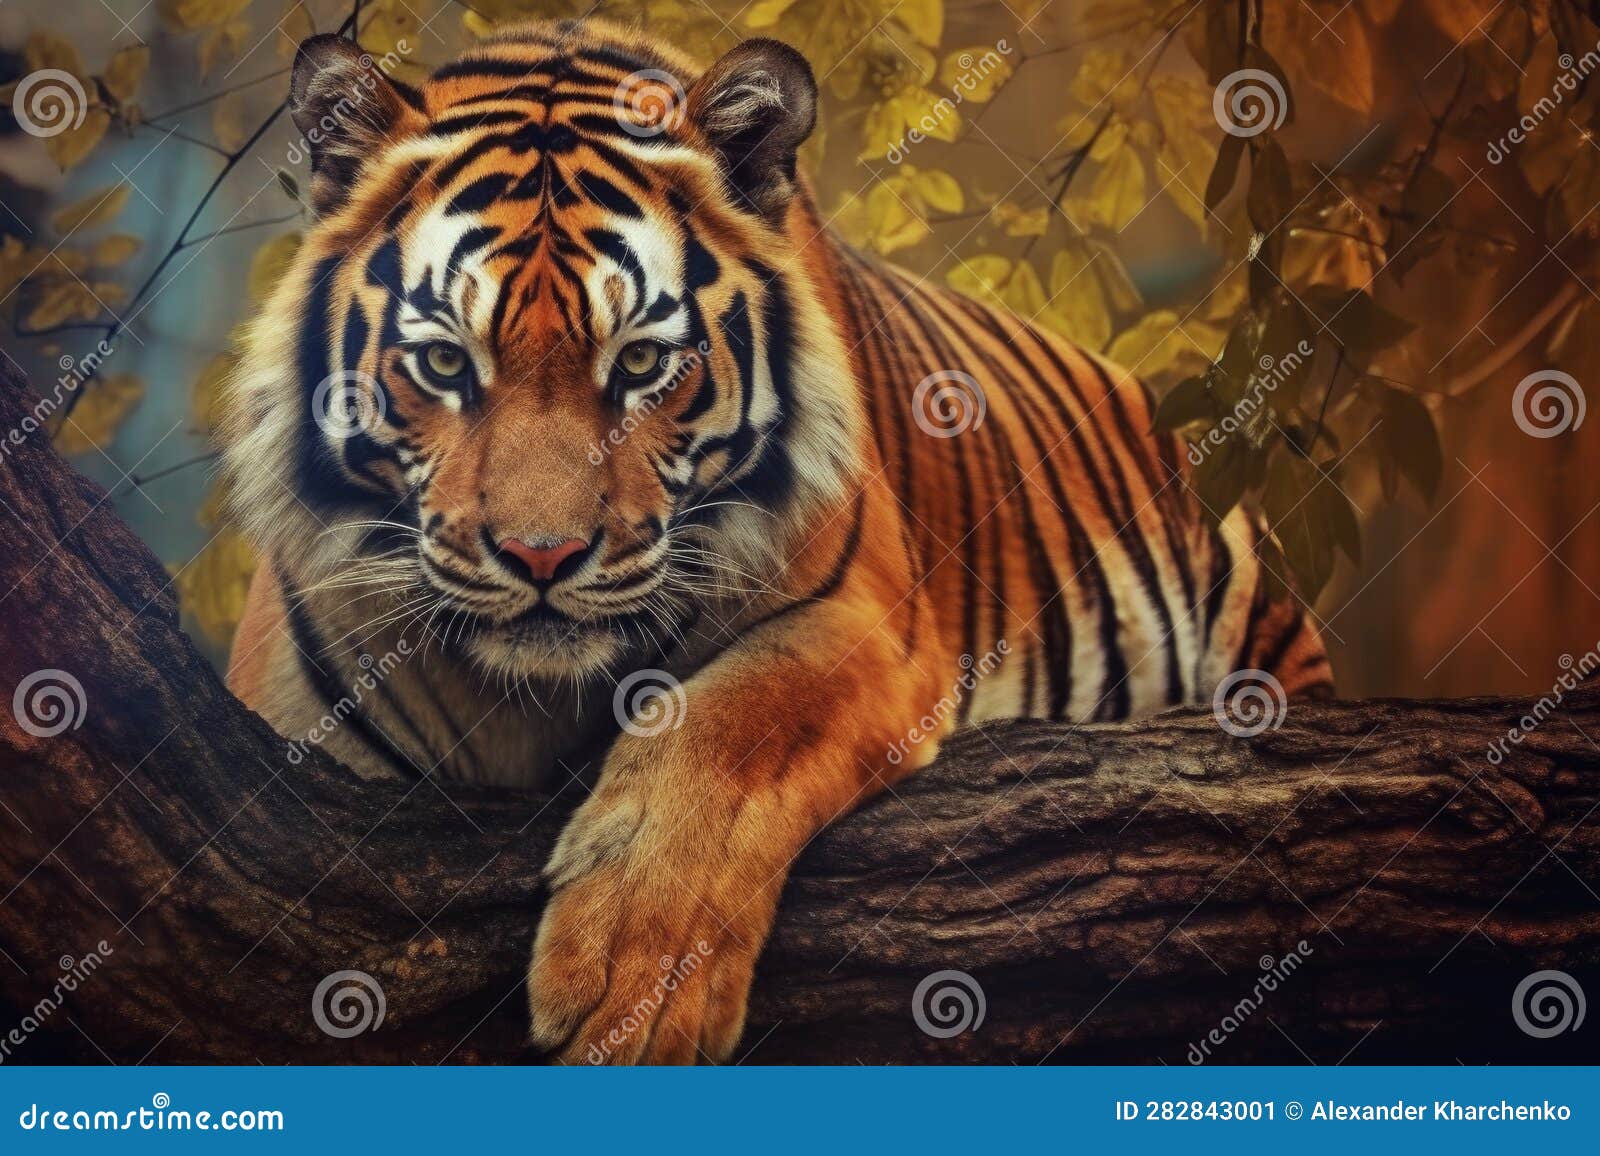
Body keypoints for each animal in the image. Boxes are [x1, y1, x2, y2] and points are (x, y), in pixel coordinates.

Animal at [220, 17, 1333, 1065]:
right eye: (447, 362)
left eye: (642, 364)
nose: (541, 559)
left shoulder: (869, 621)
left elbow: (726, 720)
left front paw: (629, 984)